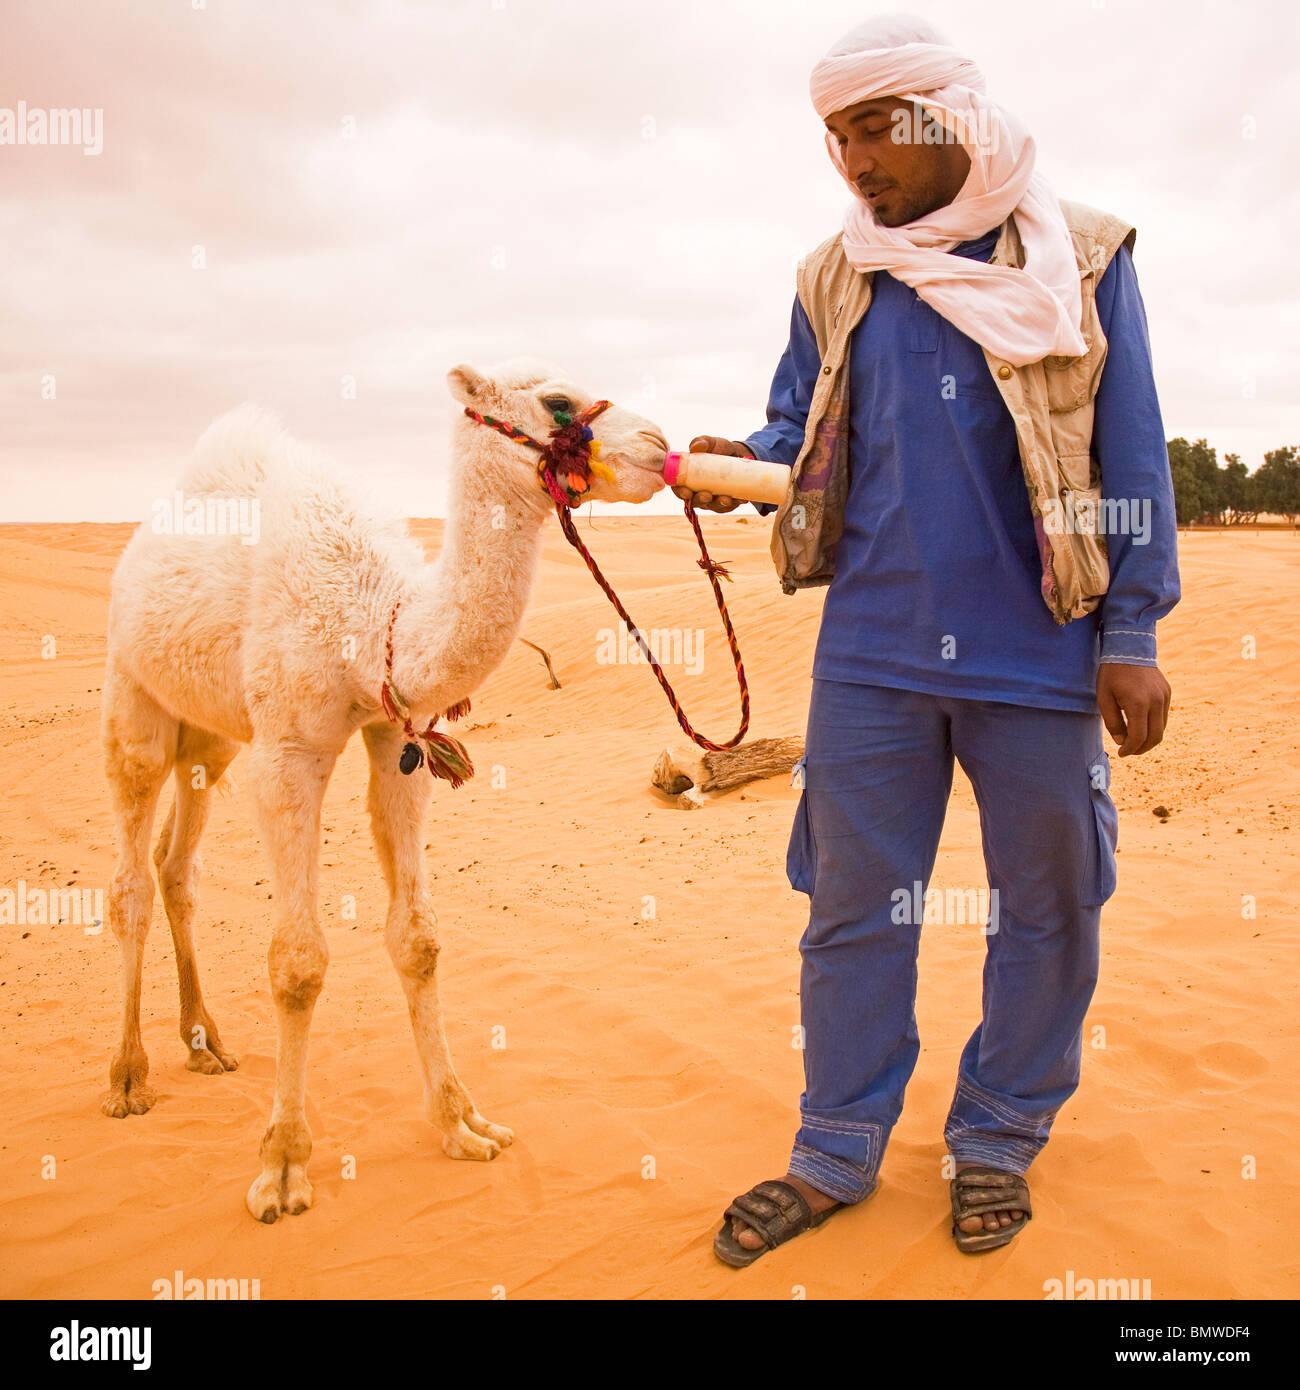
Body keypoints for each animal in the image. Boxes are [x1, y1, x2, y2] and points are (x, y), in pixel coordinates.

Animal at [100, 360, 668, 1222]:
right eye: (558, 402)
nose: (662, 447)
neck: (372, 621)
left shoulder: (395, 738)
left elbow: (419, 940)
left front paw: (462, 1122)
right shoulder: (287, 754)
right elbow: (298, 964)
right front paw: (283, 1165)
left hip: (211, 735)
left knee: (176, 866)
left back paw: (206, 1043)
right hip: (134, 693)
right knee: (131, 874)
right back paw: (129, 1077)